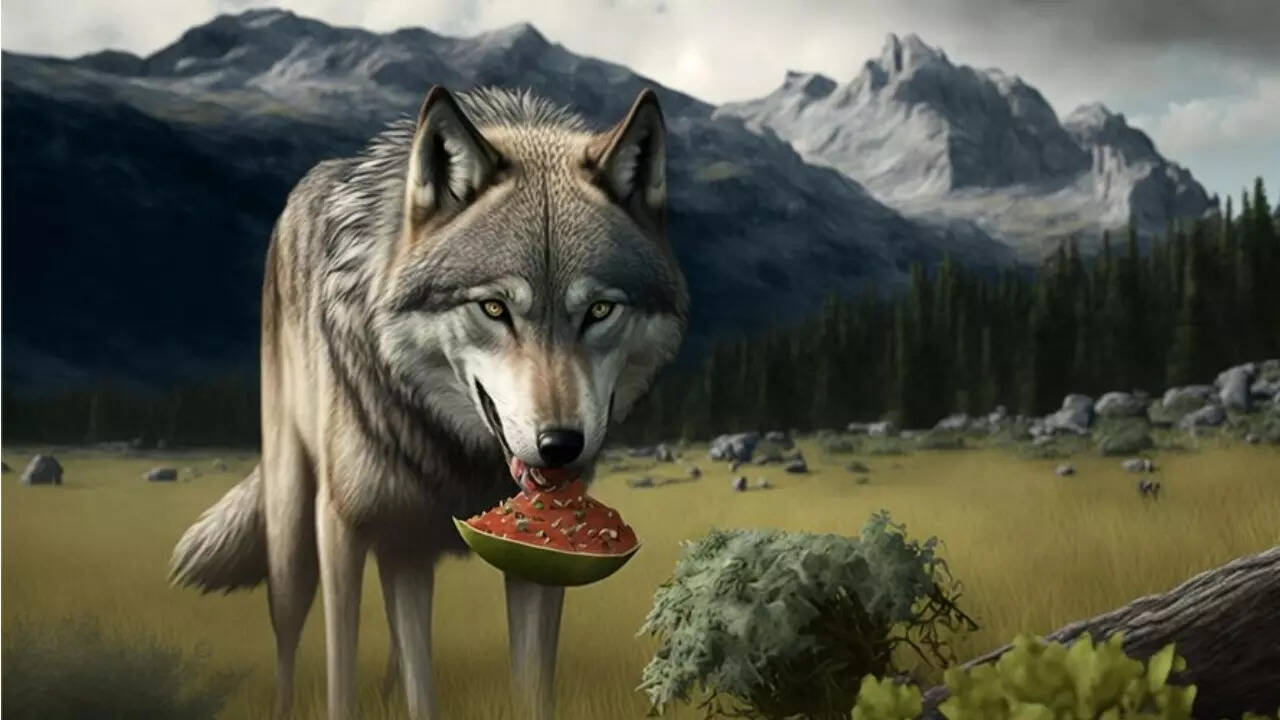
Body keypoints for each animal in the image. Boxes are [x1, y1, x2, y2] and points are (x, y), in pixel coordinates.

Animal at [169, 85, 688, 720]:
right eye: (494, 308)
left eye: (599, 310)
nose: (561, 446)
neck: (453, 451)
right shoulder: (349, 534)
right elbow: (344, 678)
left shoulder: (530, 564)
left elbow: (529, 687)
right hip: (297, 536)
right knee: (290, 639)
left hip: (404, 548)